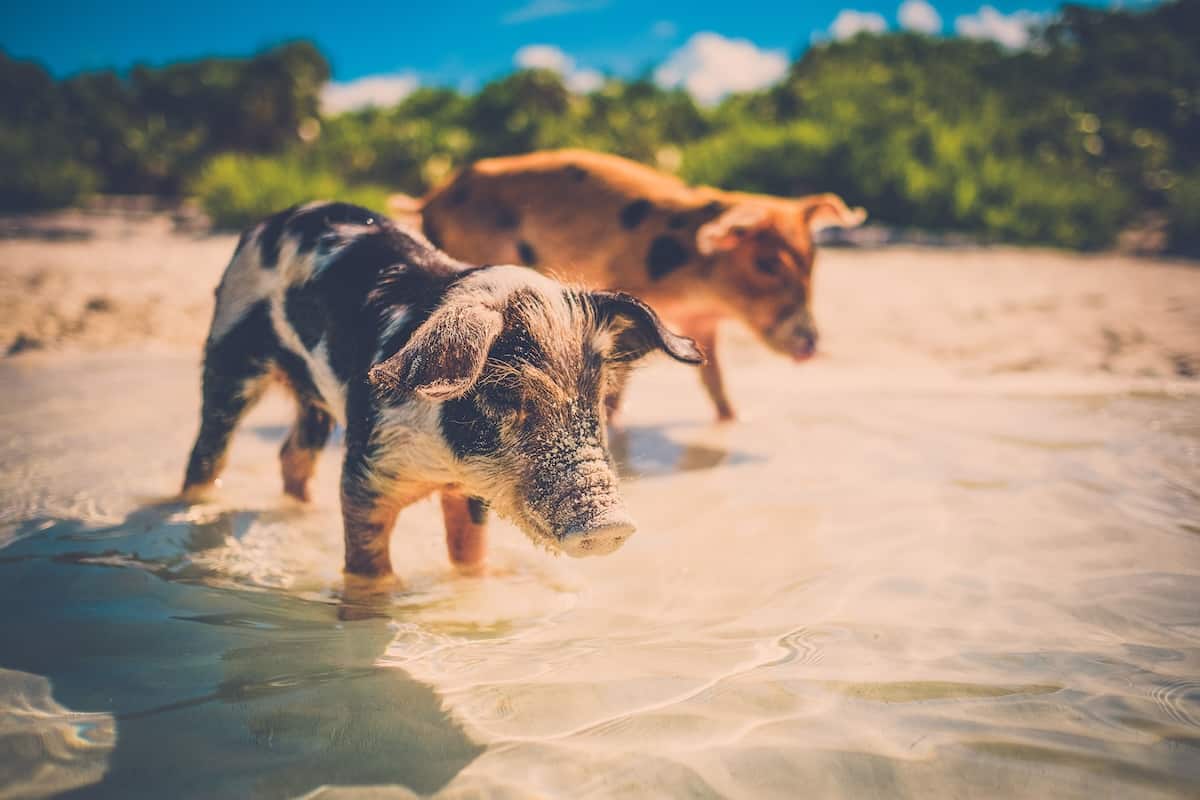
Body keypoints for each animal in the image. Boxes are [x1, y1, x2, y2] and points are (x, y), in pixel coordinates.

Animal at [181, 201, 703, 578]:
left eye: (595, 398)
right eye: (504, 394)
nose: (611, 524)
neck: (441, 463)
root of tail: (269, 222)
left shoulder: (469, 491)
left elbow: (469, 555)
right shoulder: (367, 467)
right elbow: (369, 566)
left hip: (314, 397)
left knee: (292, 454)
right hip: (229, 347)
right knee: (208, 449)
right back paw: (193, 510)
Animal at [414, 149, 866, 422]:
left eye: (811, 263)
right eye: (767, 264)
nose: (810, 346)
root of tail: (430, 199)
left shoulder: (702, 325)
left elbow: (714, 380)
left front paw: (734, 419)